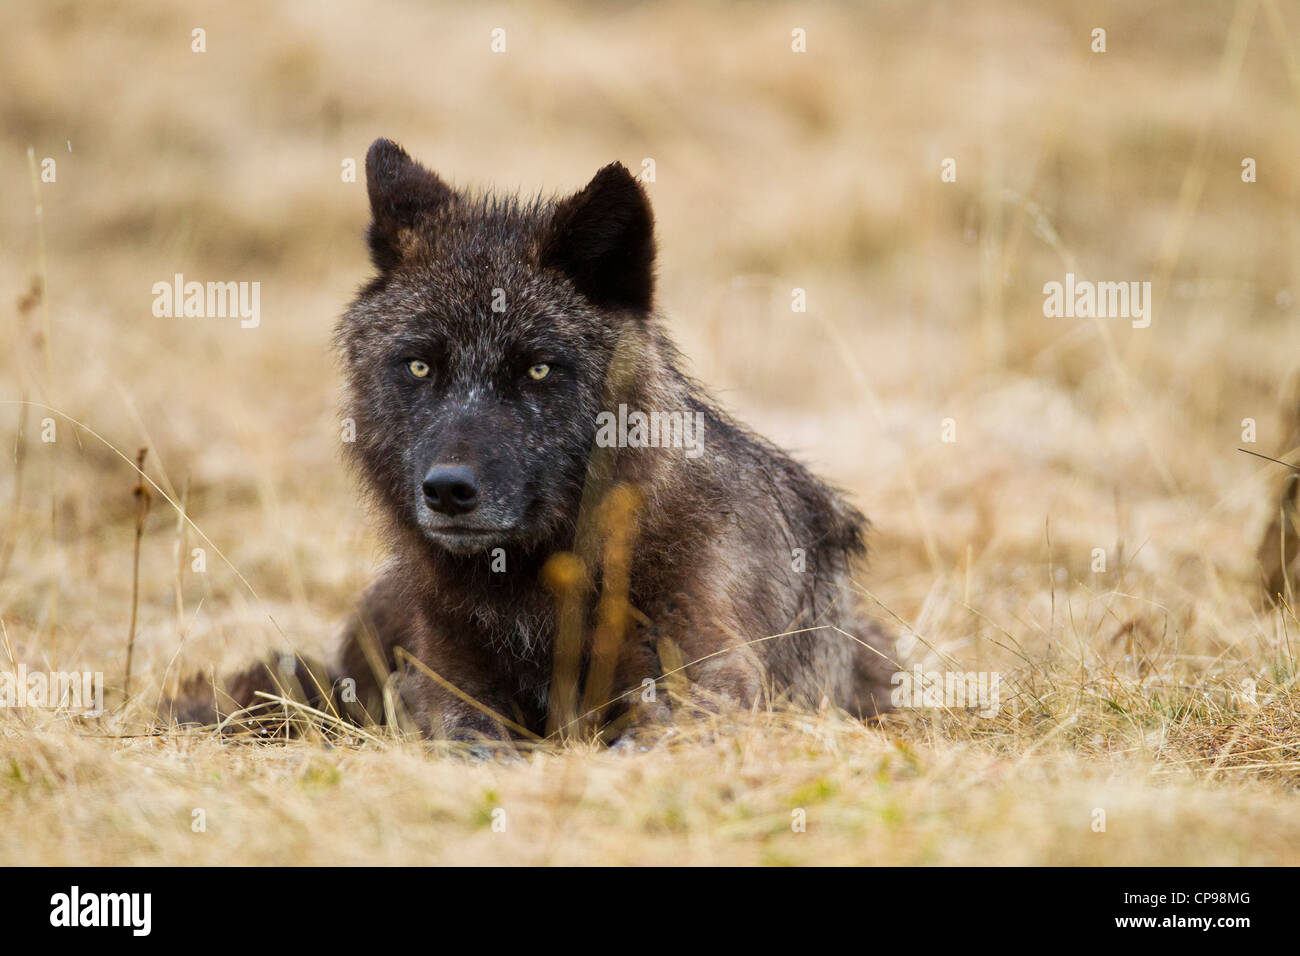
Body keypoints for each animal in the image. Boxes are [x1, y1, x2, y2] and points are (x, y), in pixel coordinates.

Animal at [170, 138, 894, 742]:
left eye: (539, 369)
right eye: (420, 366)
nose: (448, 490)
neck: (532, 594)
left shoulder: (711, 679)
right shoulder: (447, 686)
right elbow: (468, 735)